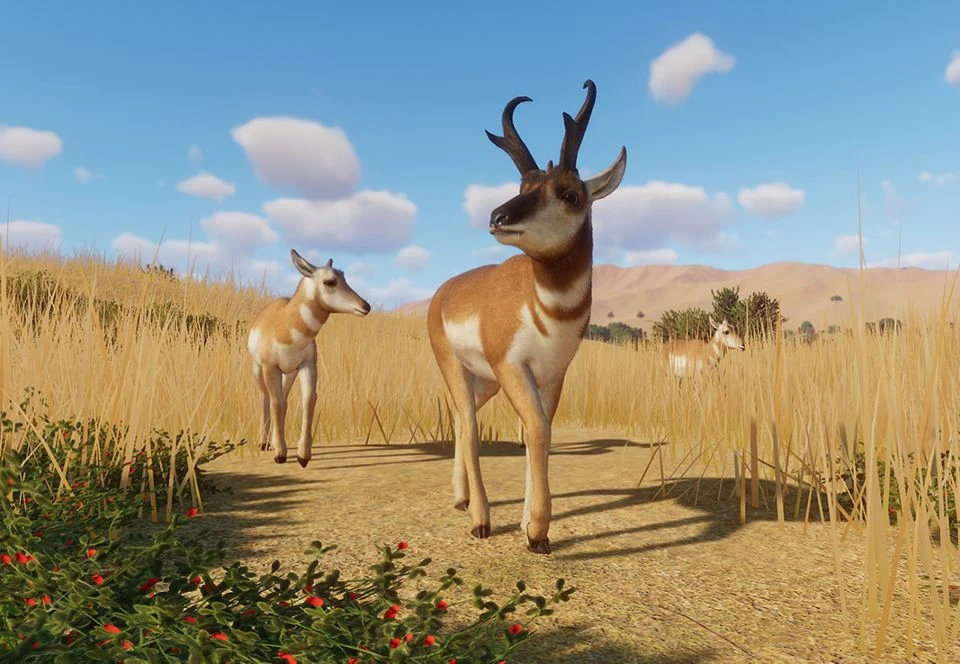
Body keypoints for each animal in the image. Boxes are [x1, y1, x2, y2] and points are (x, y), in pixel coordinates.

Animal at [247, 249, 371, 467]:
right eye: (330, 281)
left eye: (344, 276)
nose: (365, 306)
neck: (284, 325)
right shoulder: (271, 367)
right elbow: (275, 403)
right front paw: (280, 454)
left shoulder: (308, 365)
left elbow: (308, 400)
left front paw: (303, 456)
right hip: (258, 370)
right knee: (266, 398)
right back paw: (264, 442)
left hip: (289, 373)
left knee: (284, 399)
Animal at [426, 79, 627, 554]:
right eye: (523, 183)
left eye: (570, 194)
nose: (497, 216)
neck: (546, 310)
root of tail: (444, 291)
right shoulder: (515, 367)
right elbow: (536, 431)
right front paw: (537, 531)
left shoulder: (551, 375)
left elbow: (542, 431)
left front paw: (528, 526)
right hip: (458, 368)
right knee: (470, 426)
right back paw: (479, 519)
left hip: (486, 381)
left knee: (462, 420)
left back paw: (462, 499)